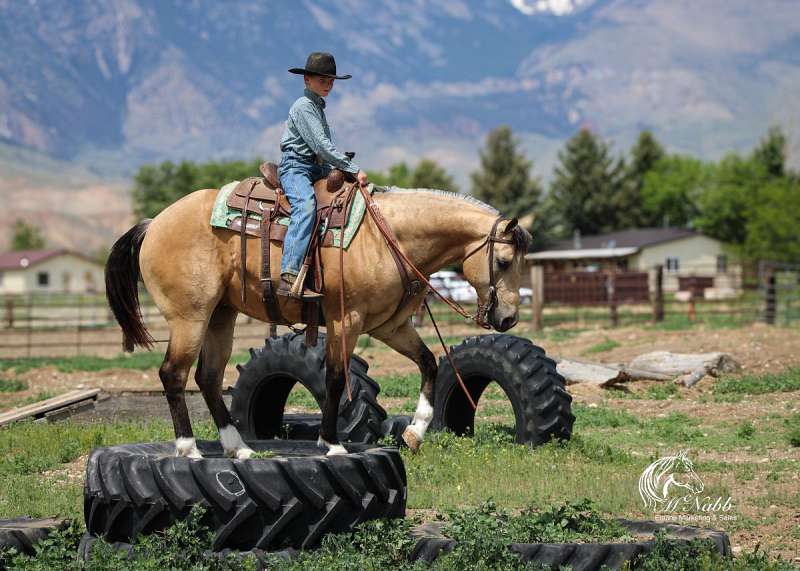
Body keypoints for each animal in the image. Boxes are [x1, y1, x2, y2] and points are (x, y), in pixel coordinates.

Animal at [105, 185, 532, 458]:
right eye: (503, 262)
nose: (509, 317)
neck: (388, 237)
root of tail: (153, 224)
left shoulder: (390, 327)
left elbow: (429, 364)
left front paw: (414, 433)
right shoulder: (348, 321)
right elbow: (335, 379)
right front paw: (333, 443)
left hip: (220, 317)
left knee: (207, 378)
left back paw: (238, 449)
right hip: (189, 317)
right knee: (173, 375)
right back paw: (189, 449)